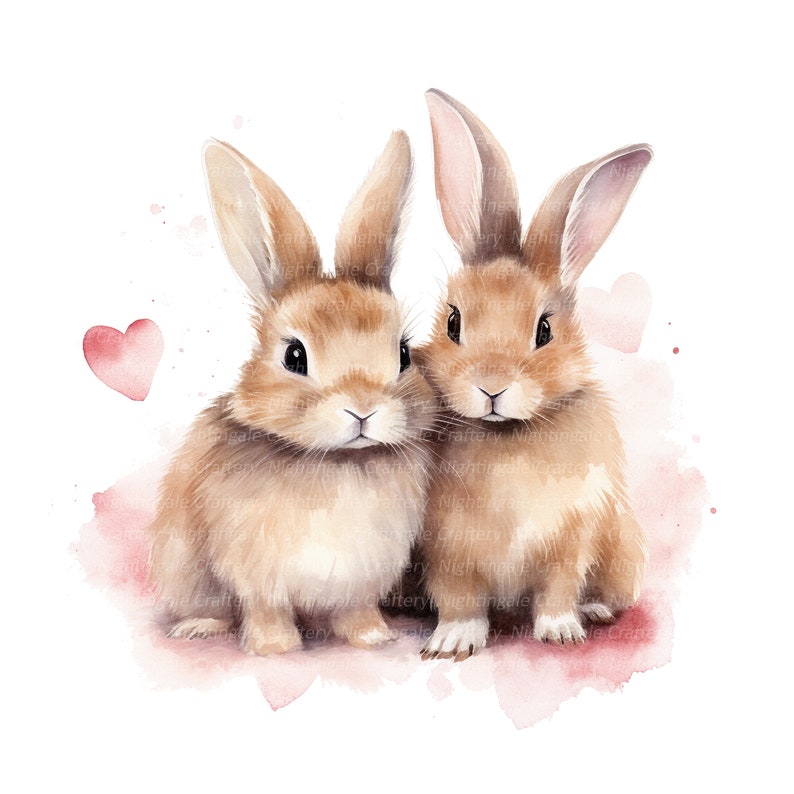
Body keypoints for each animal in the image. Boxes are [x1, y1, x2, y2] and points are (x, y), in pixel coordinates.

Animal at [147, 130, 439, 656]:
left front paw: (373, 637)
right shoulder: (255, 575)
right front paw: (275, 648)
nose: (363, 410)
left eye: (404, 353)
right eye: (294, 356)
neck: (340, 463)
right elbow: (266, 610)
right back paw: (198, 627)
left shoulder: (361, 578)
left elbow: (355, 609)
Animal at [416, 89, 651, 661]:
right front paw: (453, 641)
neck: (507, 436)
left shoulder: (571, 535)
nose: (492, 387)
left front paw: (561, 632)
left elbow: (559, 587)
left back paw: (596, 610)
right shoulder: (445, 548)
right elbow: (458, 597)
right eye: (453, 322)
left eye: (544, 329)